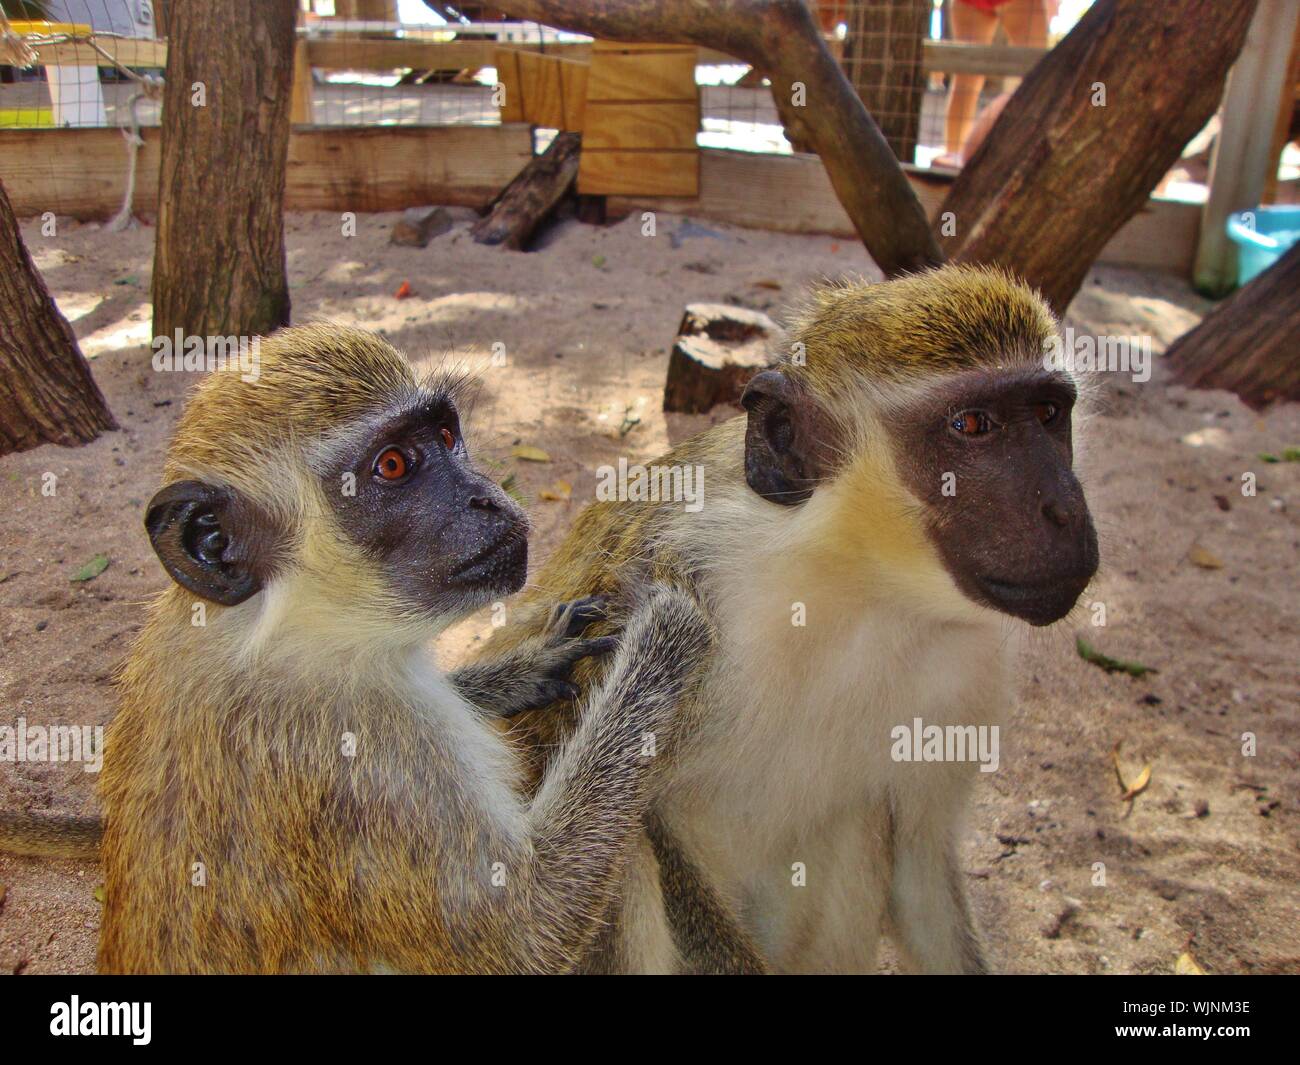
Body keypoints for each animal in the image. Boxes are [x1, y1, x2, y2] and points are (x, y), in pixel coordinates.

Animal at [7, 324, 714, 974]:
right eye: (393, 465)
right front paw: (667, 628)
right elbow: (527, 931)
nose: (487, 497)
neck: (280, 626)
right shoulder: (356, 757)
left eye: (447, 437)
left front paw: (523, 669)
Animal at [480, 264, 1100, 974]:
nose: (1066, 508)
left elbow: (922, 869)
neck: (859, 585)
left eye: (1050, 415)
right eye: (973, 425)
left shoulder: (970, 667)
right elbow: (632, 821)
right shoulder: (683, 580)